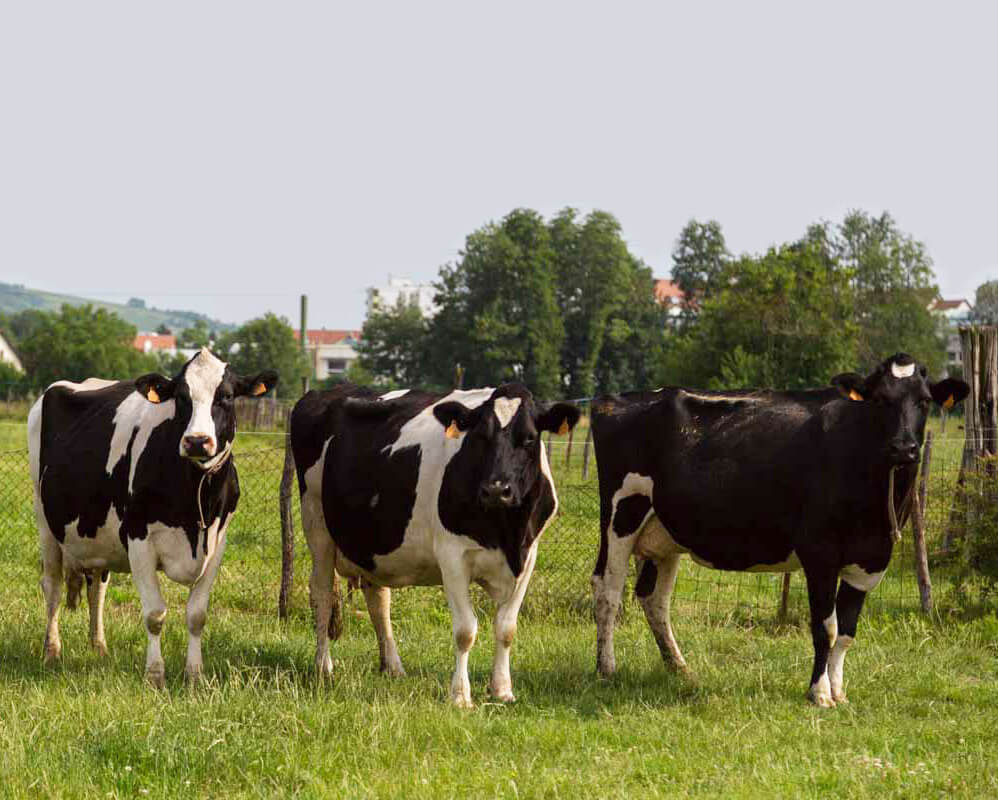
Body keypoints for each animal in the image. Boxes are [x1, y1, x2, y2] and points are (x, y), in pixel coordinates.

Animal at [28, 348, 277, 686]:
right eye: (182, 397)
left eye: (225, 396)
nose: (197, 441)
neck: (195, 493)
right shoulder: (139, 539)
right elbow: (155, 614)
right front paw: (155, 675)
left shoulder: (217, 544)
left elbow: (197, 616)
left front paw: (194, 676)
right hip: (45, 522)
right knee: (52, 587)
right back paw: (52, 651)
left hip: (99, 535)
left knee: (98, 588)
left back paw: (99, 647)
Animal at [290, 383, 580, 707]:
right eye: (480, 436)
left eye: (529, 438)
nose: (496, 490)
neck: (506, 531)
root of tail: (327, 390)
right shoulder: (452, 555)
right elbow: (465, 630)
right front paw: (460, 696)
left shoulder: (528, 556)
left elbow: (506, 628)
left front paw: (502, 690)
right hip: (316, 523)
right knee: (322, 594)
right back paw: (323, 667)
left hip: (375, 544)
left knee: (378, 600)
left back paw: (393, 667)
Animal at [590, 354, 968, 707]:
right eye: (879, 400)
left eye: (924, 401)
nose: (904, 447)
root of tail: (616, 399)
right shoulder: (820, 553)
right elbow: (826, 628)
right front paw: (819, 693)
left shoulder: (872, 558)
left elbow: (847, 632)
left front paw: (839, 692)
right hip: (621, 514)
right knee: (607, 589)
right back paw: (606, 669)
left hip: (664, 534)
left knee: (654, 599)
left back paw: (680, 669)